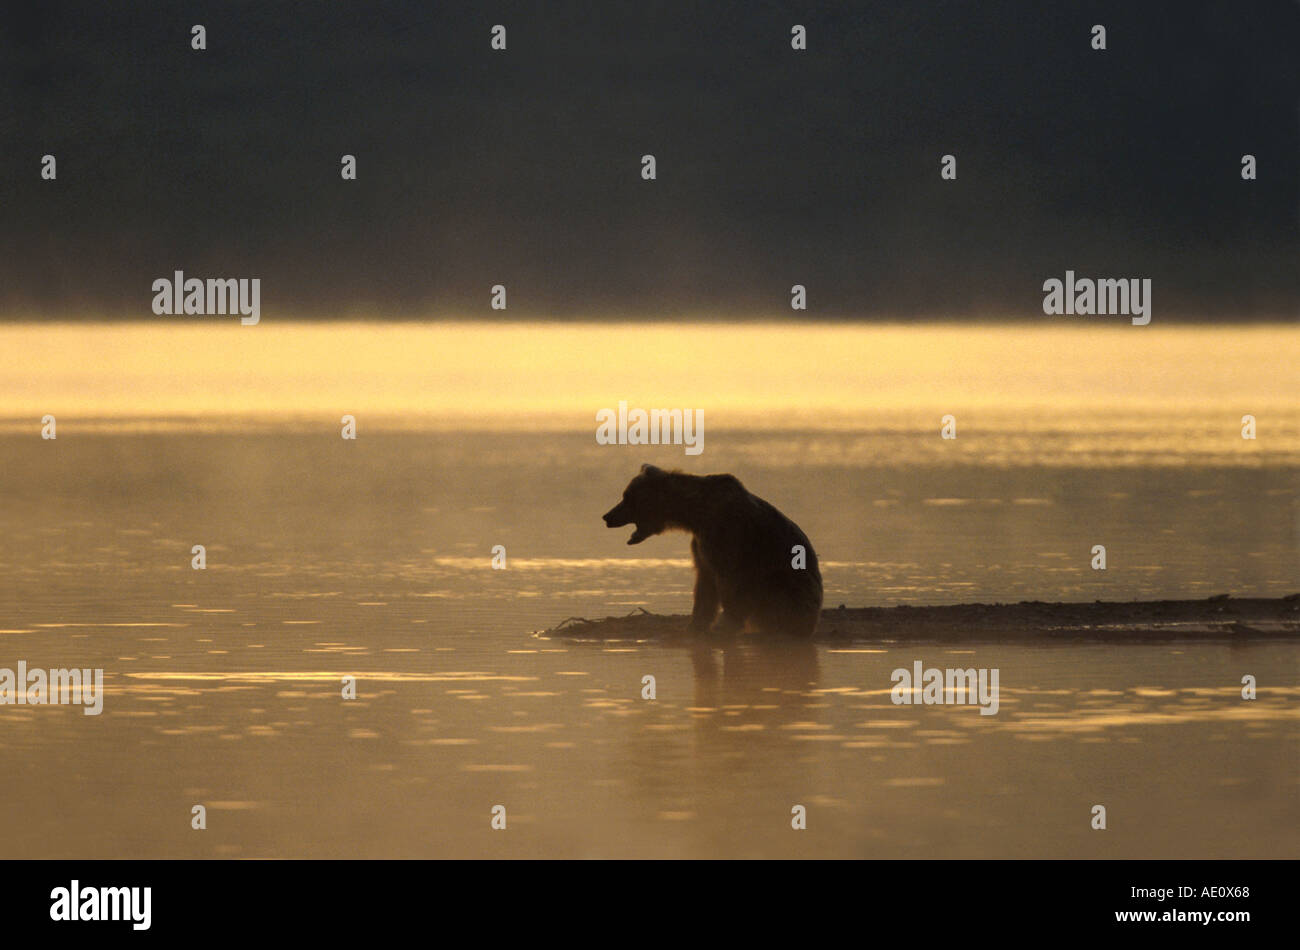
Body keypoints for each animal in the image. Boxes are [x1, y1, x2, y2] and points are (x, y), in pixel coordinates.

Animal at [602, 464, 823, 637]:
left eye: (626, 497)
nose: (607, 516)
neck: (696, 514)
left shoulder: (726, 535)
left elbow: (731, 581)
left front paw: (724, 625)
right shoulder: (701, 543)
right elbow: (705, 582)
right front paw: (694, 627)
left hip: (788, 584)